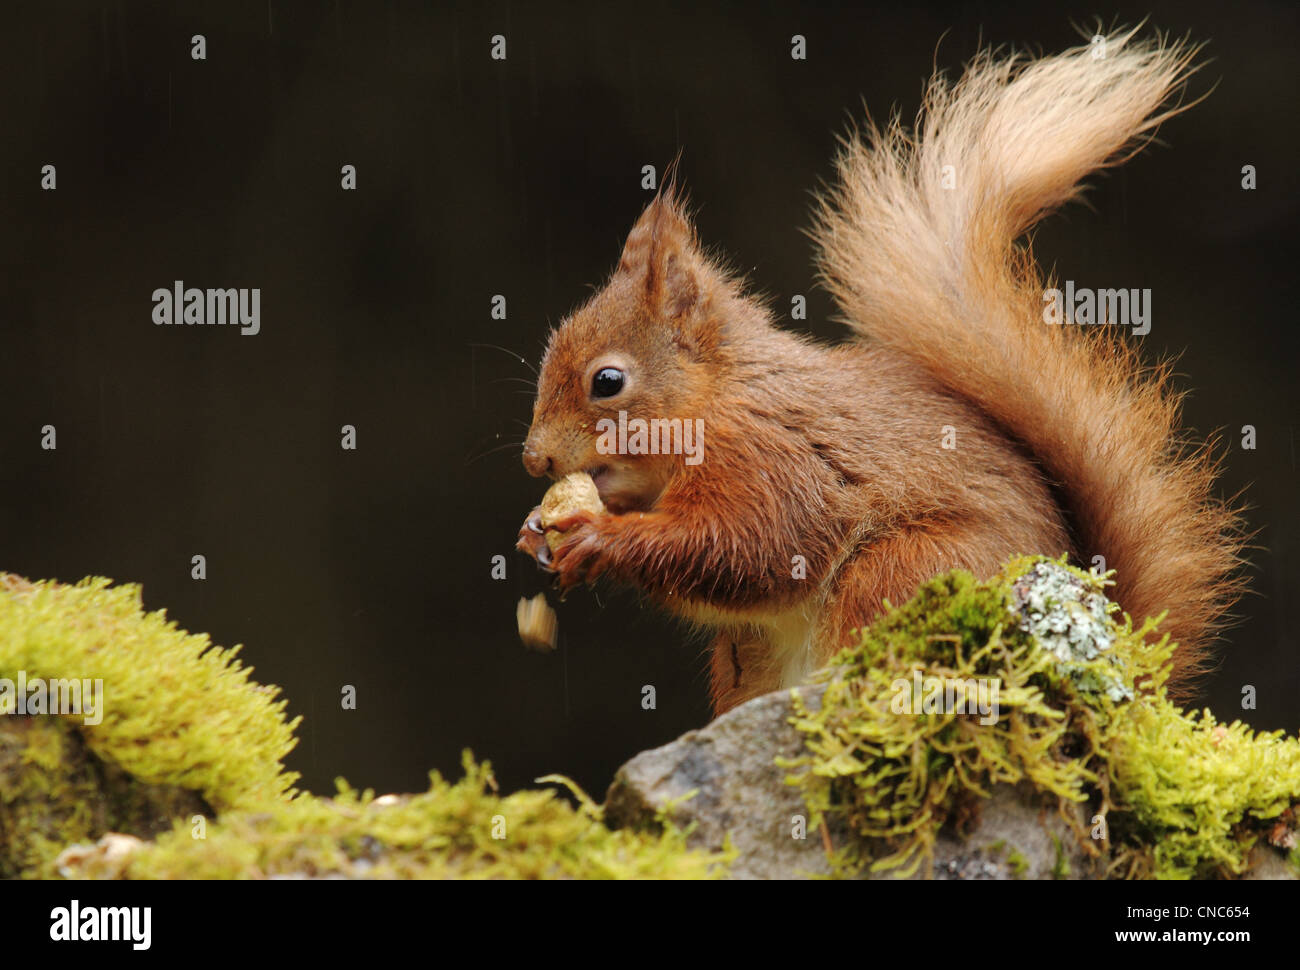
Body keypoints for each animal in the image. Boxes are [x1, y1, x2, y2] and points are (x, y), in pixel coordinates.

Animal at [515, 29, 1246, 718]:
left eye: (608, 383)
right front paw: (535, 532)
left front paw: (599, 538)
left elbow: (748, 548)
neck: (718, 398)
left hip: (903, 572)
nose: (534, 460)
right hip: (748, 654)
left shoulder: (769, 459)